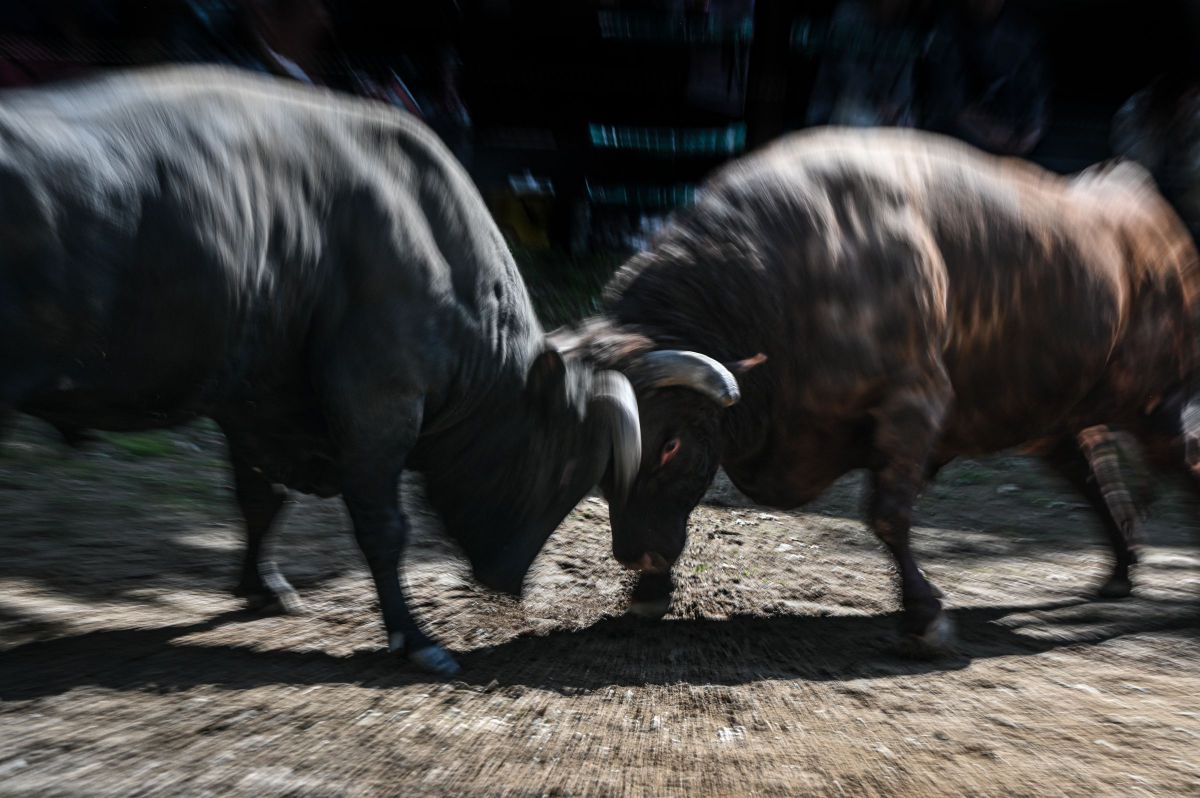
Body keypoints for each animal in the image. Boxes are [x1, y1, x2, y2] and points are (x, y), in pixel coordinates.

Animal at [0, 66, 642, 675]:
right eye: (566, 467)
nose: (511, 578)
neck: (431, 236)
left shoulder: (253, 402)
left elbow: (261, 501)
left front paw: (263, 588)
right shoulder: (378, 403)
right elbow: (383, 527)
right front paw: (414, 640)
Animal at [559, 127, 1200, 655]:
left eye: (668, 445)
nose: (634, 553)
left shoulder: (912, 405)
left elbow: (888, 515)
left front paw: (925, 618)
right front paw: (649, 589)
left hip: (1155, 402)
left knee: (1181, 465)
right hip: (1051, 417)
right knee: (1091, 473)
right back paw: (1119, 570)